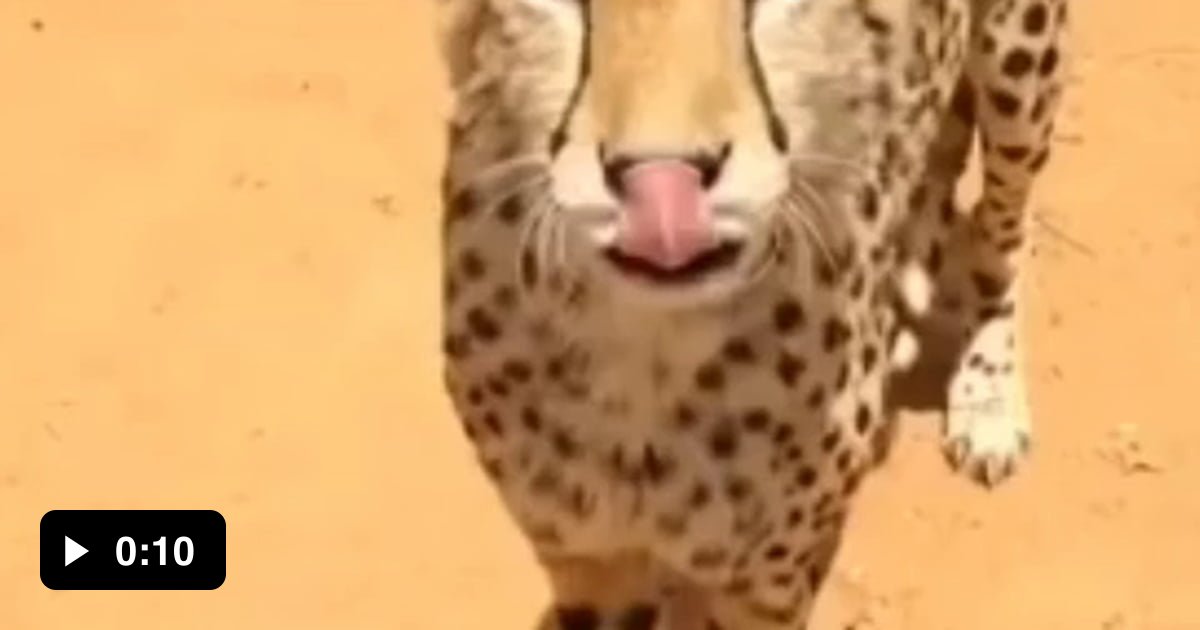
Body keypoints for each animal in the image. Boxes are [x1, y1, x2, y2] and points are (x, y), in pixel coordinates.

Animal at [435, 0, 1068, 628]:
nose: (662, 181)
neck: (650, 353)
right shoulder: (586, 562)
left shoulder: (767, 587)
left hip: (1022, 67)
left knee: (1001, 226)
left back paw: (987, 395)